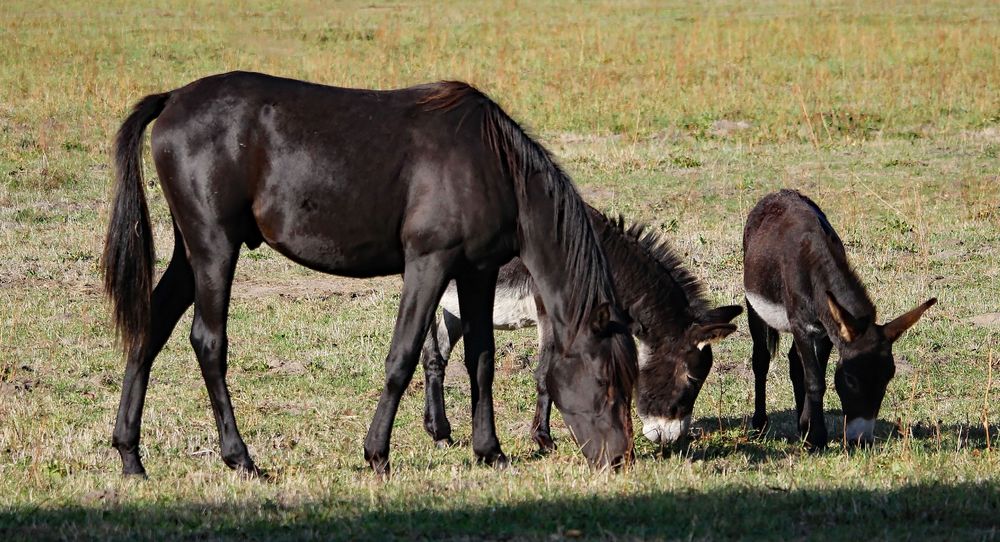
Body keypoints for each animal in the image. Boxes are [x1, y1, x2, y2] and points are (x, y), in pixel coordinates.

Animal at [102, 71, 638, 477]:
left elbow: (481, 359)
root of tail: (173, 98)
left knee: (150, 330)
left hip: (190, 253)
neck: (492, 165)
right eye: (607, 380)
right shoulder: (428, 263)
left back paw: (130, 455)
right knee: (208, 343)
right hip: (215, 248)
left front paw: (490, 451)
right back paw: (240, 458)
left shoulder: (478, 272)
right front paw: (377, 454)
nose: (620, 460)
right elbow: (402, 356)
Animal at [420, 205, 743, 450]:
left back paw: (440, 433)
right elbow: (544, 374)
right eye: (691, 378)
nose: (671, 440)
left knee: (435, 357)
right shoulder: (549, 316)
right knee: (433, 355)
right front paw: (543, 439)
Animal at [743, 189, 936, 448]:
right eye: (850, 379)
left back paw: (800, 425)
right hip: (755, 307)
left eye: (888, 377)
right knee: (761, 359)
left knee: (795, 363)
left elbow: (815, 375)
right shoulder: (801, 325)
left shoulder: (826, 330)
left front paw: (809, 430)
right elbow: (815, 381)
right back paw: (760, 425)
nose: (861, 441)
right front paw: (817, 438)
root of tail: (781, 192)